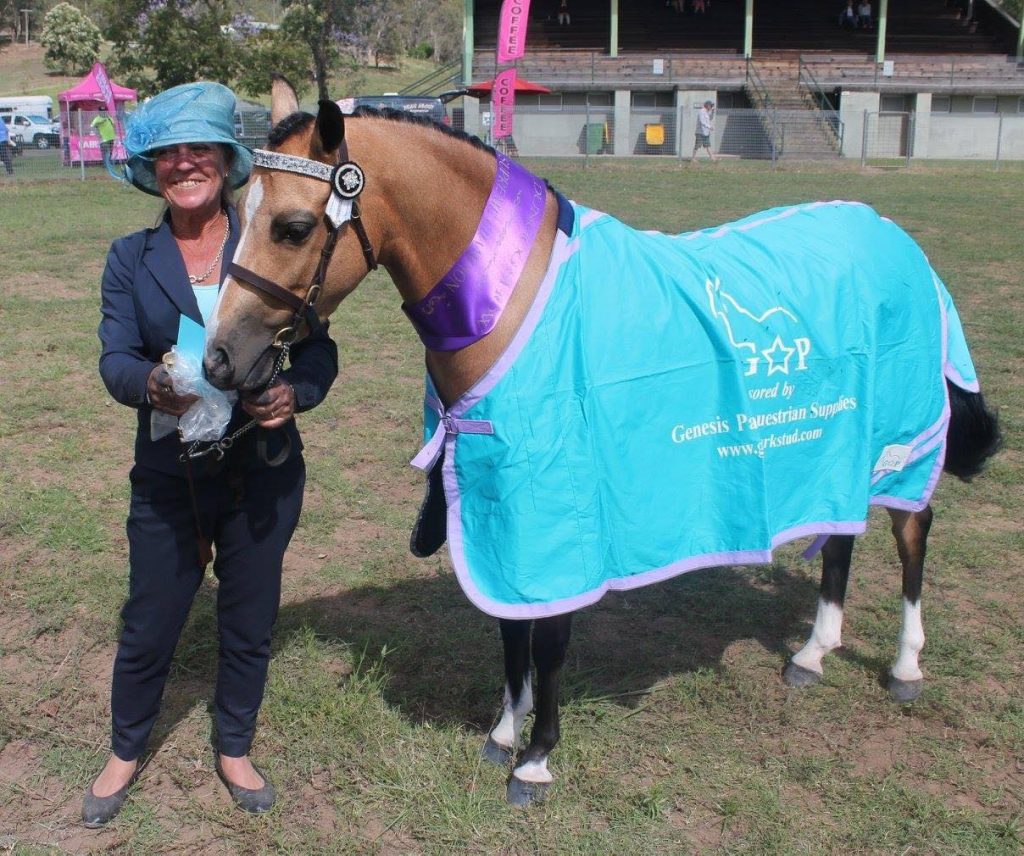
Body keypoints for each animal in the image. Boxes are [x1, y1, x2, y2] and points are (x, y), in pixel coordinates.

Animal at [204, 79, 1001, 806]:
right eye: (237, 212)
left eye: (294, 226)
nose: (219, 360)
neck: (511, 305)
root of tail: (897, 240)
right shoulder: (499, 496)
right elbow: (512, 629)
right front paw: (504, 733)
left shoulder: (559, 509)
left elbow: (550, 640)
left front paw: (535, 759)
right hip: (839, 445)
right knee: (840, 535)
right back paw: (812, 653)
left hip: (902, 439)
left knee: (911, 533)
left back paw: (904, 667)